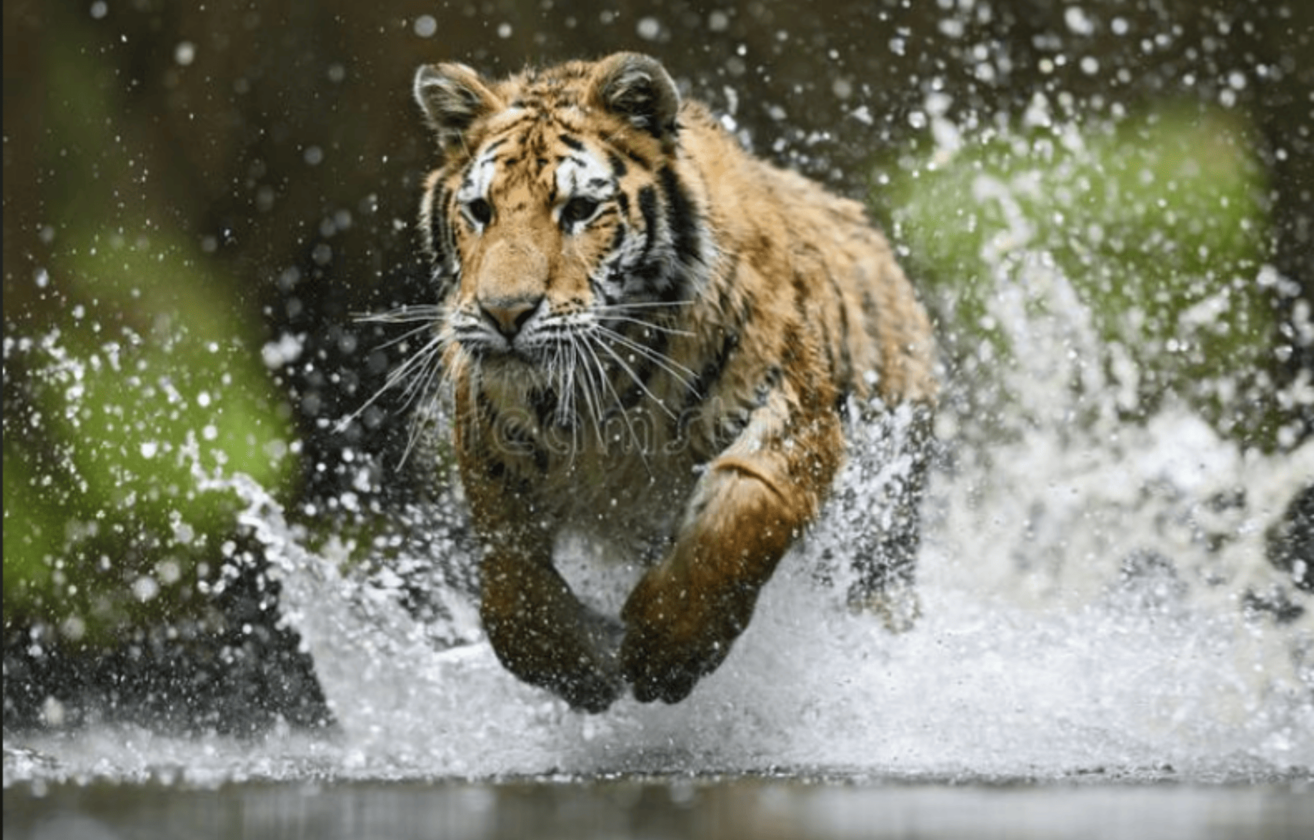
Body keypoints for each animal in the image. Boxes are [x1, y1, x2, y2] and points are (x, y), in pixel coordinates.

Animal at [409, 52, 938, 713]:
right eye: (481, 211)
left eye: (578, 210)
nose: (505, 314)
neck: (600, 390)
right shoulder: (489, 440)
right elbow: (510, 594)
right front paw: (581, 671)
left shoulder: (794, 415)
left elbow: (742, 516)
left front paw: (665, 651)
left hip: (884, 529)